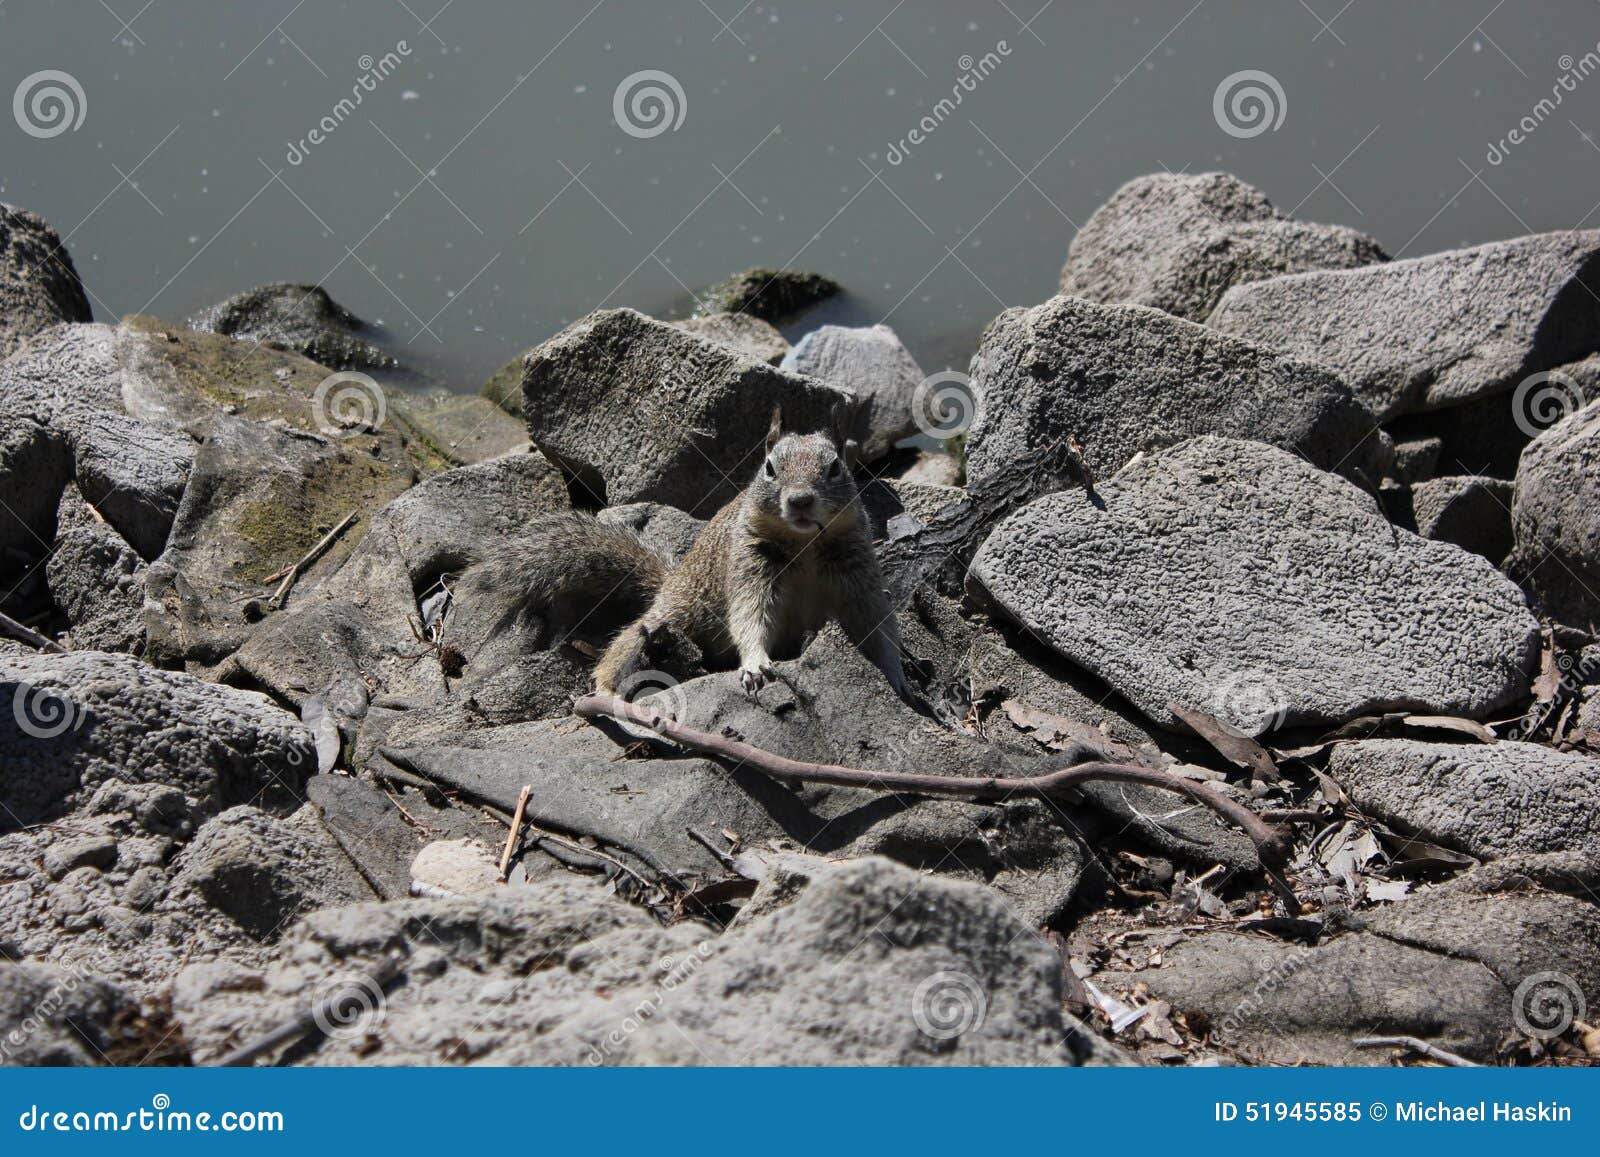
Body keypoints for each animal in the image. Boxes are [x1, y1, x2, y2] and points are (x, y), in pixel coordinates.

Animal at [459, 406, 908, 700]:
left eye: (835, 468)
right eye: (768, 468)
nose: (799, 500)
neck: (805, 545)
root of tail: (670, 583)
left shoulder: (858, 572)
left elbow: (878, 622)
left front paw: (898, 673)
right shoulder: (750, 566)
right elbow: (749, 614)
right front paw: (755, 664)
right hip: (675, 616)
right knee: (622, 647)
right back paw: (604, 689)